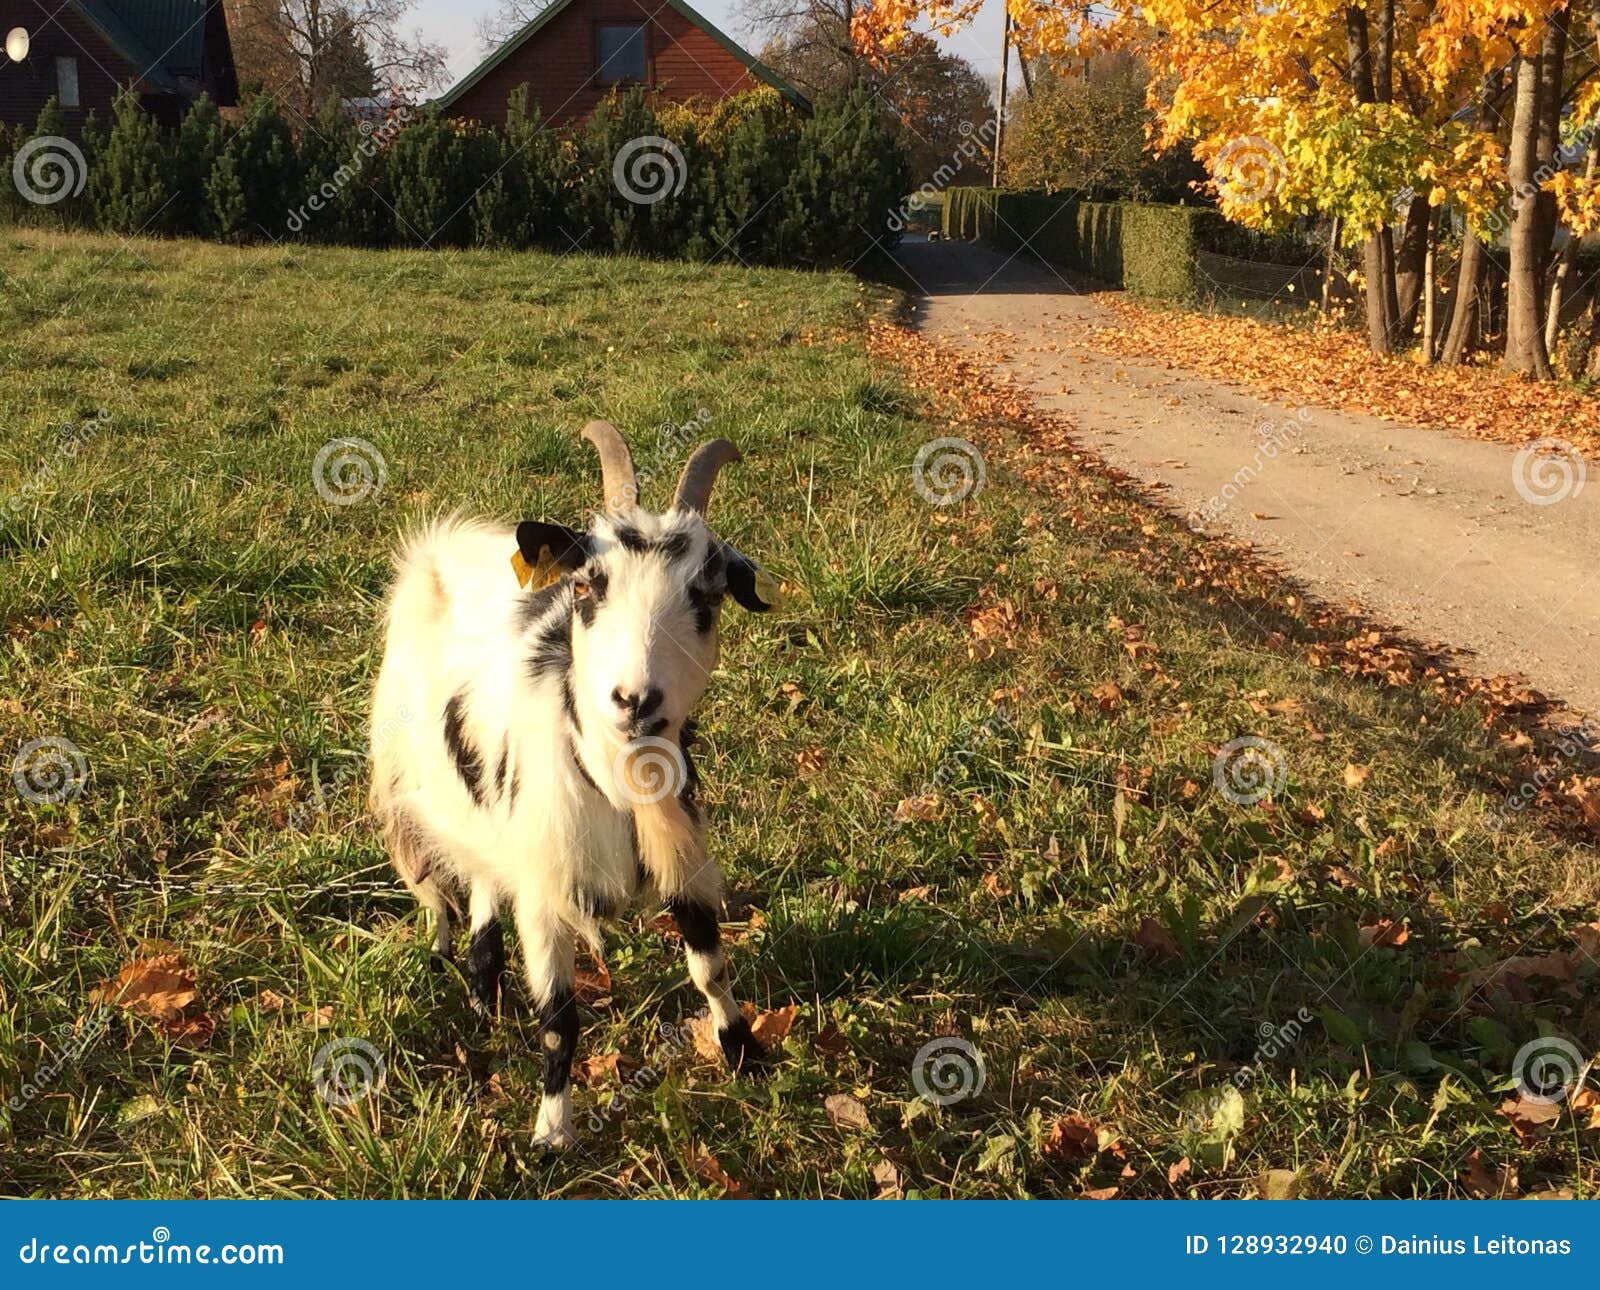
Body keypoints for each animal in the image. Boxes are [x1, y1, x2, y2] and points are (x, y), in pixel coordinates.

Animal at [368, 421, 774, 1147]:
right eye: (586, 589)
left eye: (707, 594)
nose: (635, 700)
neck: (614, 782)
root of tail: (444, 550)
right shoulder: (543, 887)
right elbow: (558, 1019)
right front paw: (552, 1135)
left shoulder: (682, 851)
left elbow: (710, 965)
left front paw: (742, 1051)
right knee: (455, 881)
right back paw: (463, 975)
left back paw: (483, 987)